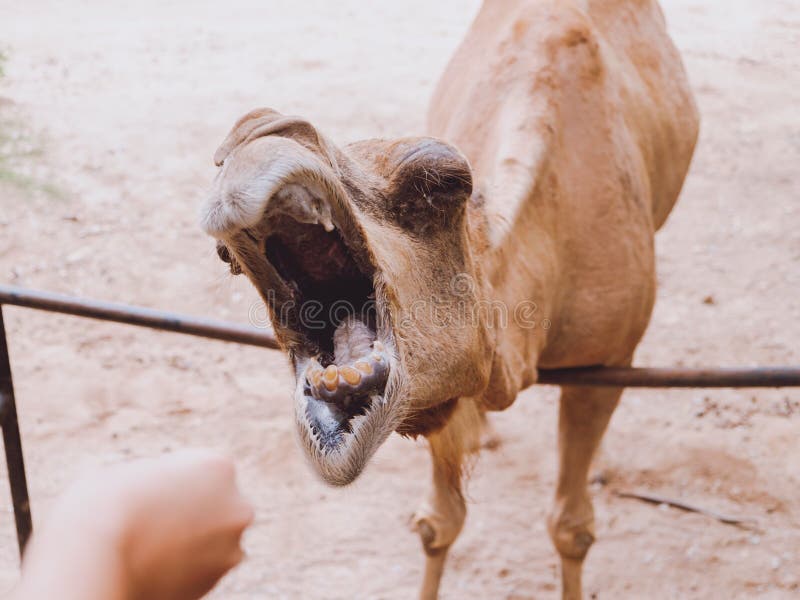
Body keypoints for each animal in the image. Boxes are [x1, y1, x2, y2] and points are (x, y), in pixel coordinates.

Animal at [200, 0, 699, 597]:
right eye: (224, 257)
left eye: (442, 180)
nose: (255, 131)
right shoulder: (440, 385)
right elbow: (439, 522)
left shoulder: (609, 359)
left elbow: (572, 528)